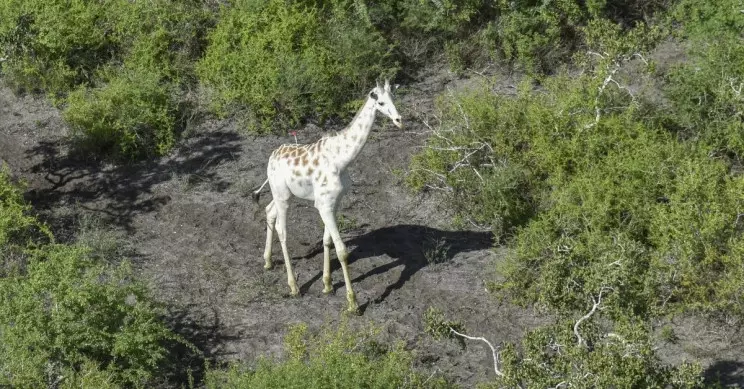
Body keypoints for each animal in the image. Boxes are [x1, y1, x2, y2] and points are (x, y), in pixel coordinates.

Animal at [251, 80, 404, 314]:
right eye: (380, 102)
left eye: (394, 97)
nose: (399, 120)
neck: (342, 160)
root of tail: (271, 157)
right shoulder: (324, 204)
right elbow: (341, 251)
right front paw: (353, 303)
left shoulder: (334, 203)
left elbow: (327, 241)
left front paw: (328, 285)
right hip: (282, 195)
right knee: (282, 230)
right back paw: (294, 286)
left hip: (284, 194)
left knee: (269, 212)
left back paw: (267, 261)